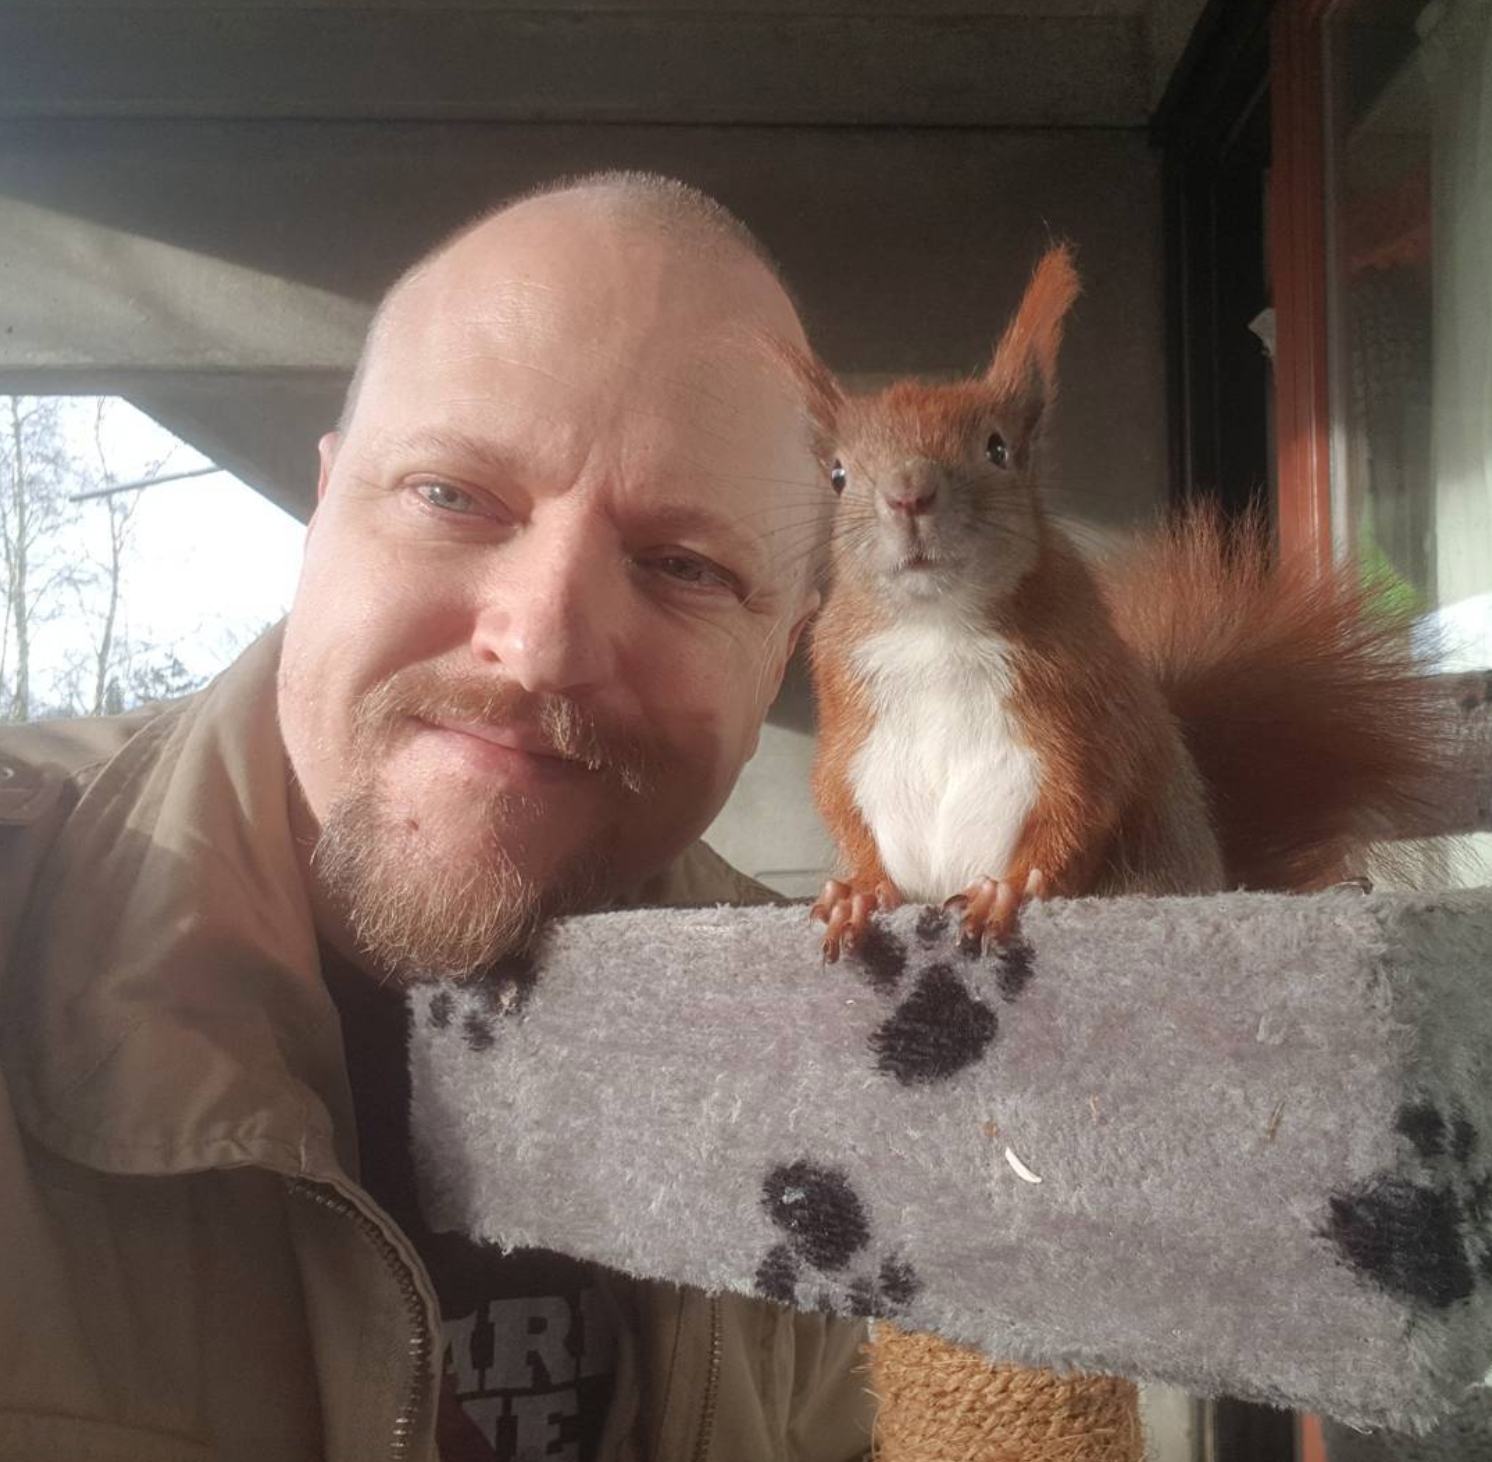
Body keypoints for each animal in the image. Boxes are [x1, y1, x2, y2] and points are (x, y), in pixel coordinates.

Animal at [804, 244, 1459, 959]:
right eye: (837, 475)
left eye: (997, 448)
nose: (908, 494)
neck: (935, 625)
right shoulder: (847, 741)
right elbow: (843, 812)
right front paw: (859, 893)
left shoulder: (1083, 728)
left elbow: (1078, 811)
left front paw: (1006, 890)